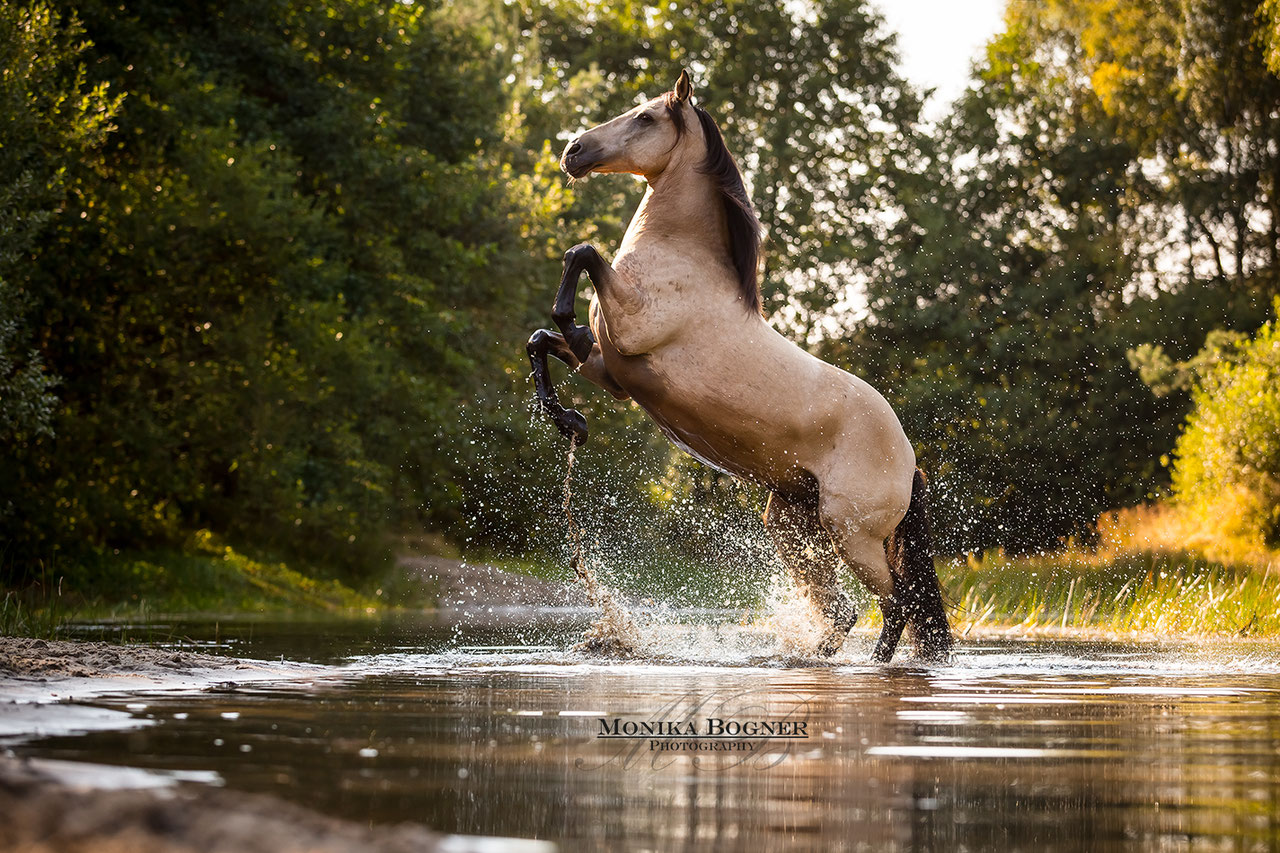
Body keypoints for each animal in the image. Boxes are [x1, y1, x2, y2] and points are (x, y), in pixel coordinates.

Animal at [526, 70, 952, 663]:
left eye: (646, 117)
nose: (573, 151)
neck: (682, 260)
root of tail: (909, 462)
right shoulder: (614, 374)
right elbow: (540, 341)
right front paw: (569, 420)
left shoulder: (632, 331)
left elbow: (580, 254)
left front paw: (570, 329)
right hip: (792, 525)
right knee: (845, 612)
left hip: (852, 536)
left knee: (896, 604)